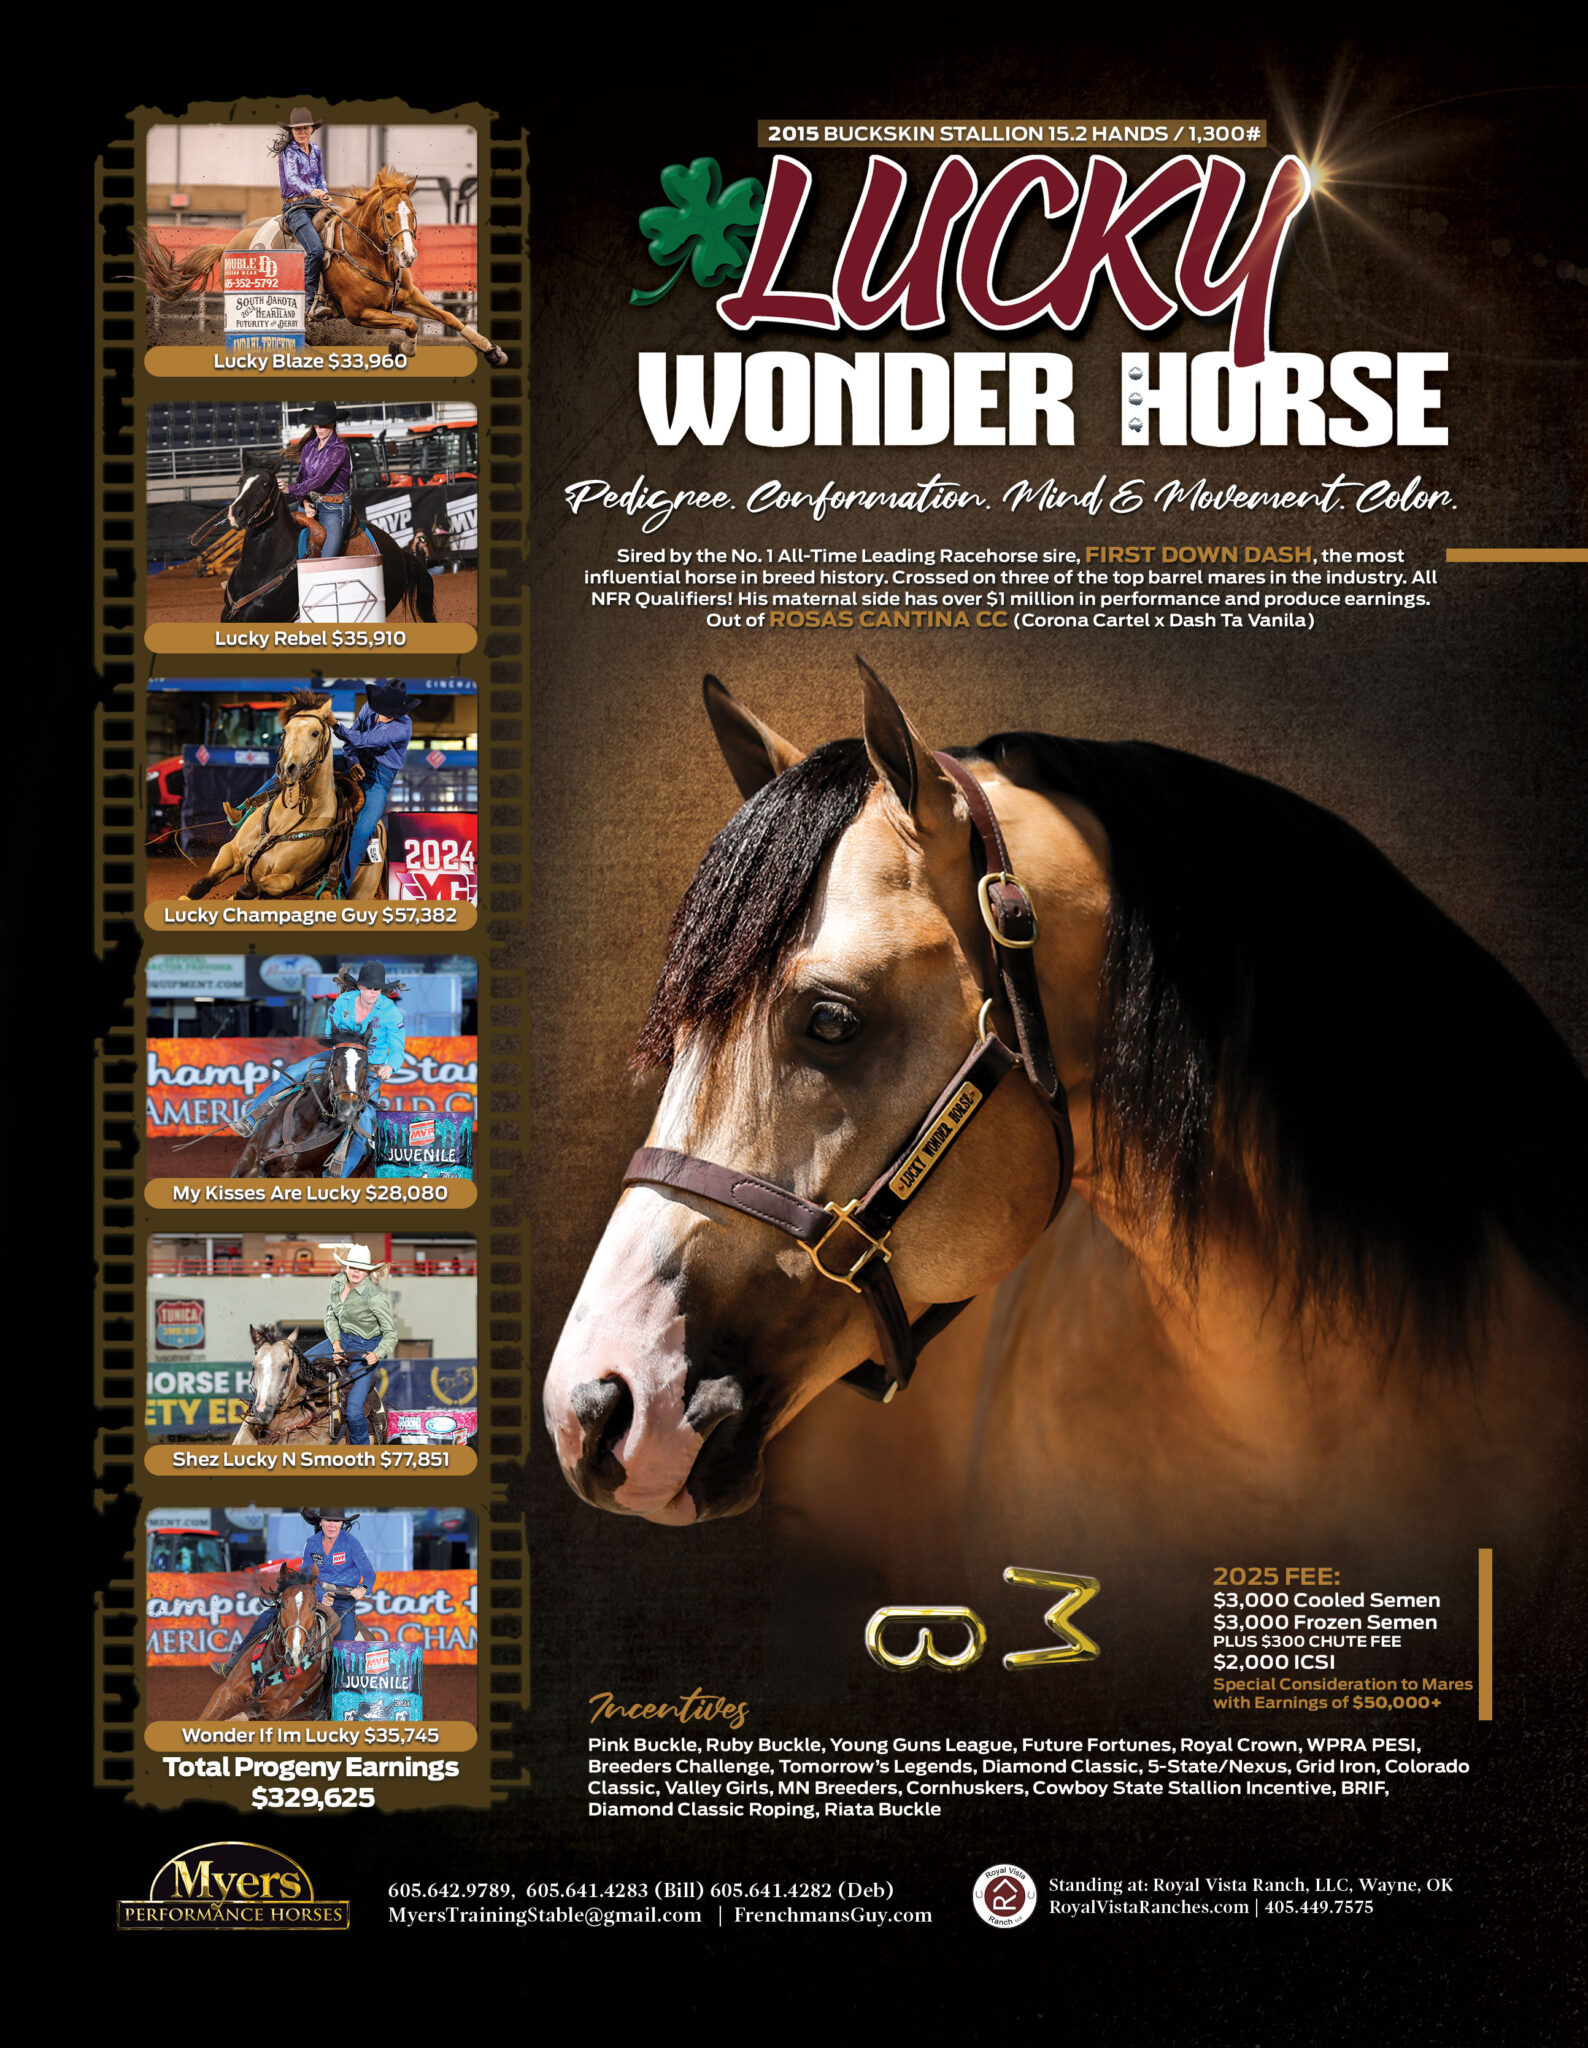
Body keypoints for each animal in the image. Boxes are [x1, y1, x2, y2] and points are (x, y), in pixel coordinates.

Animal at [132, 168, 509, 364]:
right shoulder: (359, 313)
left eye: (412, 213)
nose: (408, 257)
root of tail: (228, 246)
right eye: (388, 215)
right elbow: (410, 325)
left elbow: (448, 318)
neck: (365, 252)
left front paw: (492, 351)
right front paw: (403, 348)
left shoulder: (409, 296)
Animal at [181, 692, 384, 903]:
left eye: (315, 733)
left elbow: (245, 891)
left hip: (361, 892)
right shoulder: (230, 853)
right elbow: (199, 886)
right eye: (285, 731)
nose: (287, 768)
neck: (286, 819)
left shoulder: (287, 880)